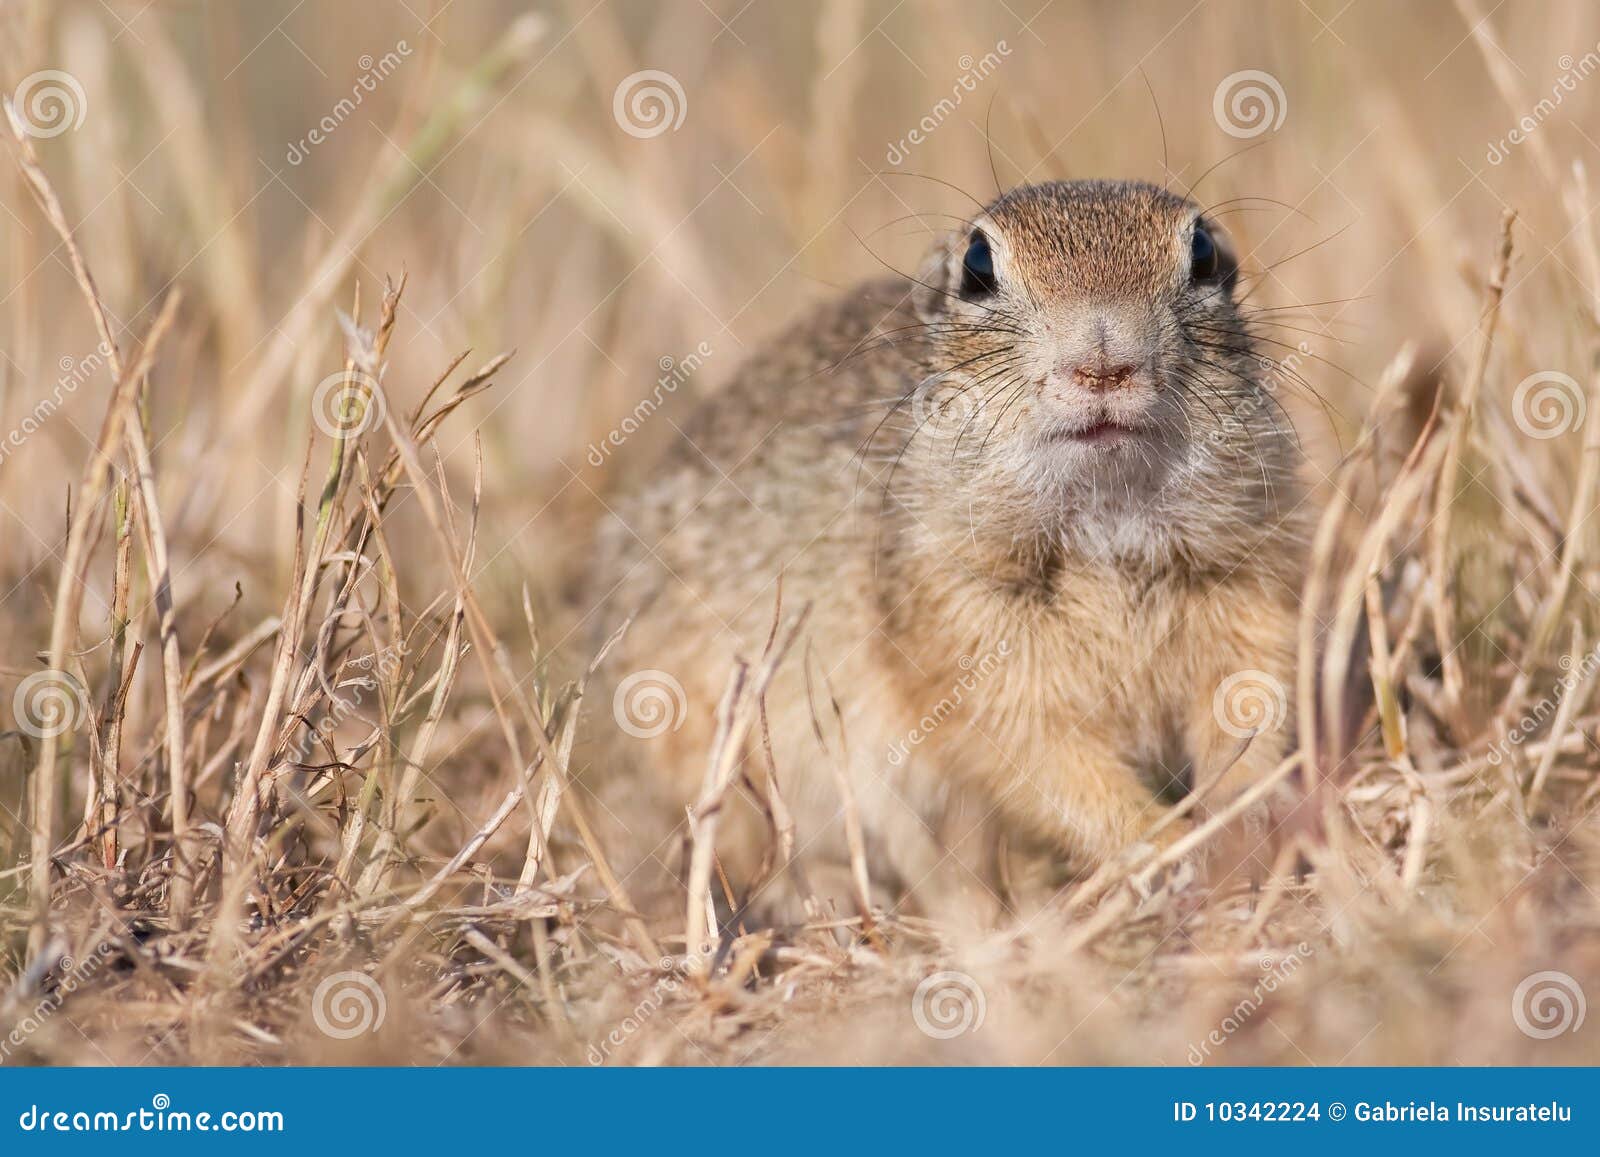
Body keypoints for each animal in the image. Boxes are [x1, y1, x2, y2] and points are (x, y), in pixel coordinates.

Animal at [587, 179, 1307, 921]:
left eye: (1204, 253)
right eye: (978, 266)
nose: (1105, 365)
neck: (1107, 529)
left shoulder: (1250, 593)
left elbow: (1248, 712)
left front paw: (1249, 820)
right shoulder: (966, 649)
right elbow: (1048, 764)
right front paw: (1163, 846)